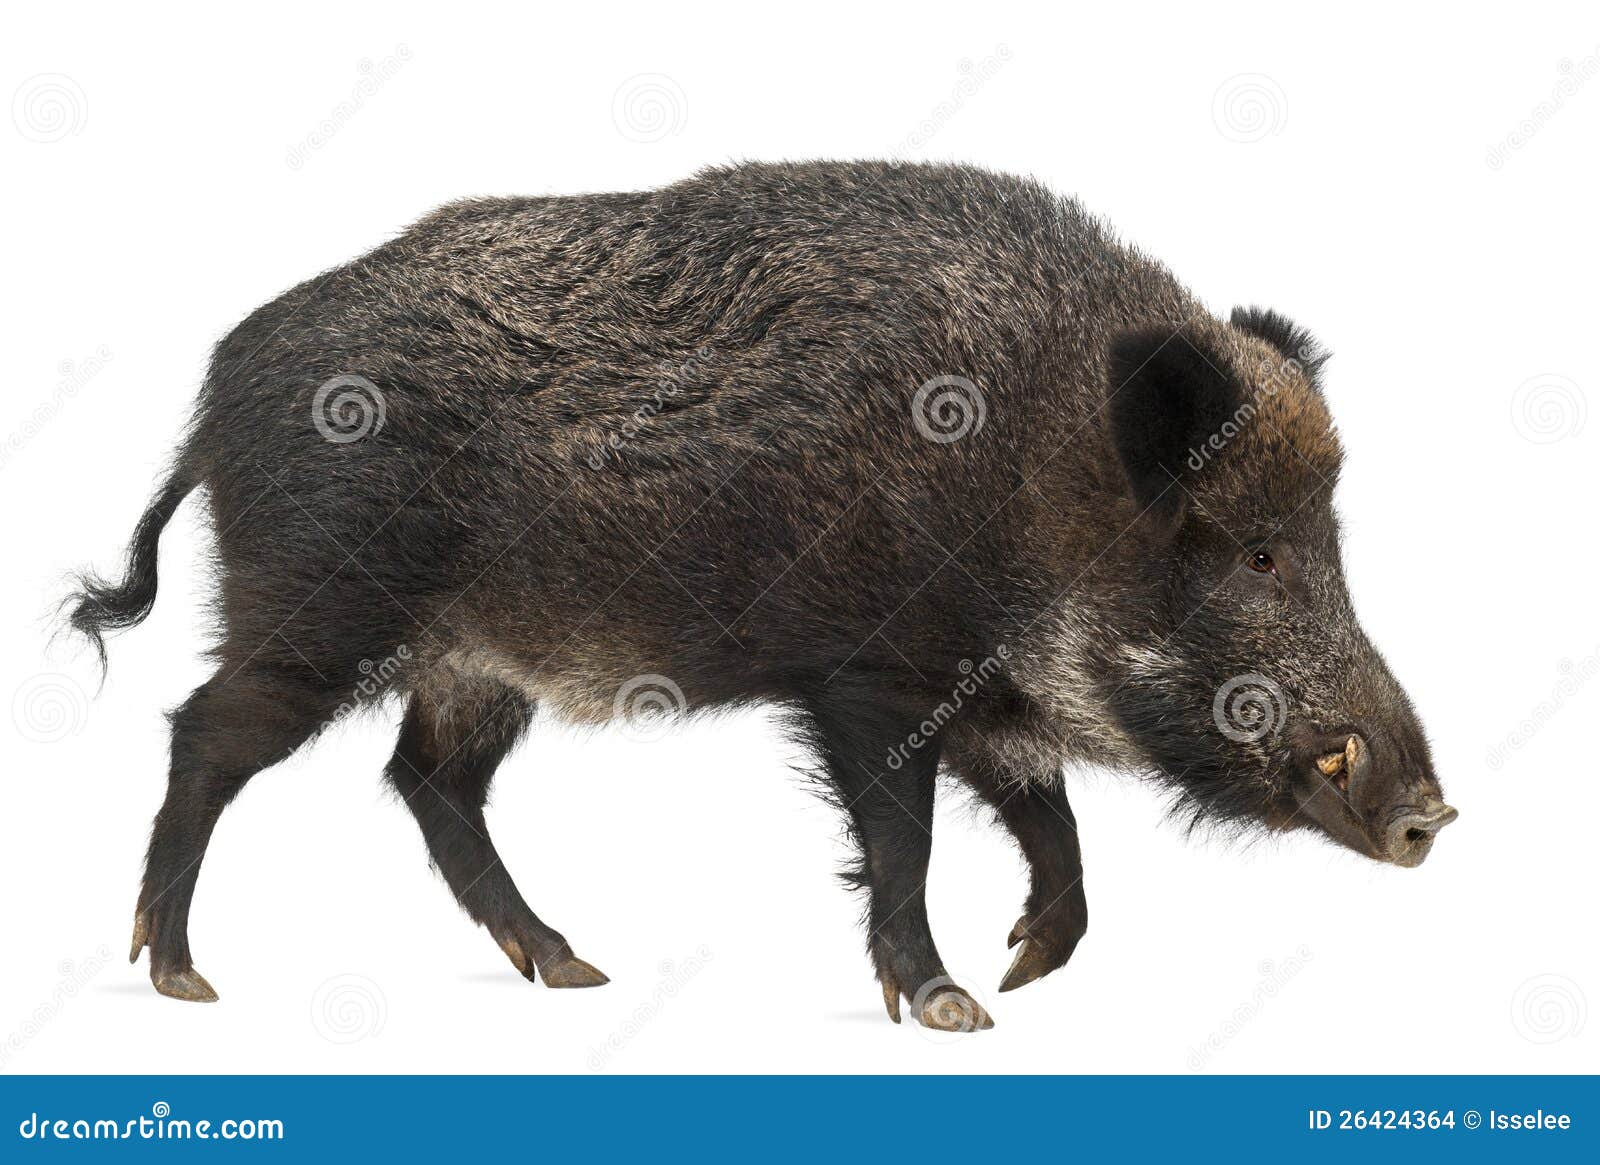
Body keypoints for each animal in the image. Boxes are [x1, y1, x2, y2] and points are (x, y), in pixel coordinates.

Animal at [68, 161, 1455, 1031]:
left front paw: (1028, 971)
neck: (1035, 468)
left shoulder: (982, 692)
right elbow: (907, 836)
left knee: (429, 779)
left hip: (475, 662)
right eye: (1258, 554)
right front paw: (955, 1009)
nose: (1430, 812)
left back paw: (572, 968)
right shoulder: (870, 673)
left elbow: (1047, 814)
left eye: (1326, 540)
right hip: (318, 609)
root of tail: (212, 407)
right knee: (208, 732)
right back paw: (183, 979)